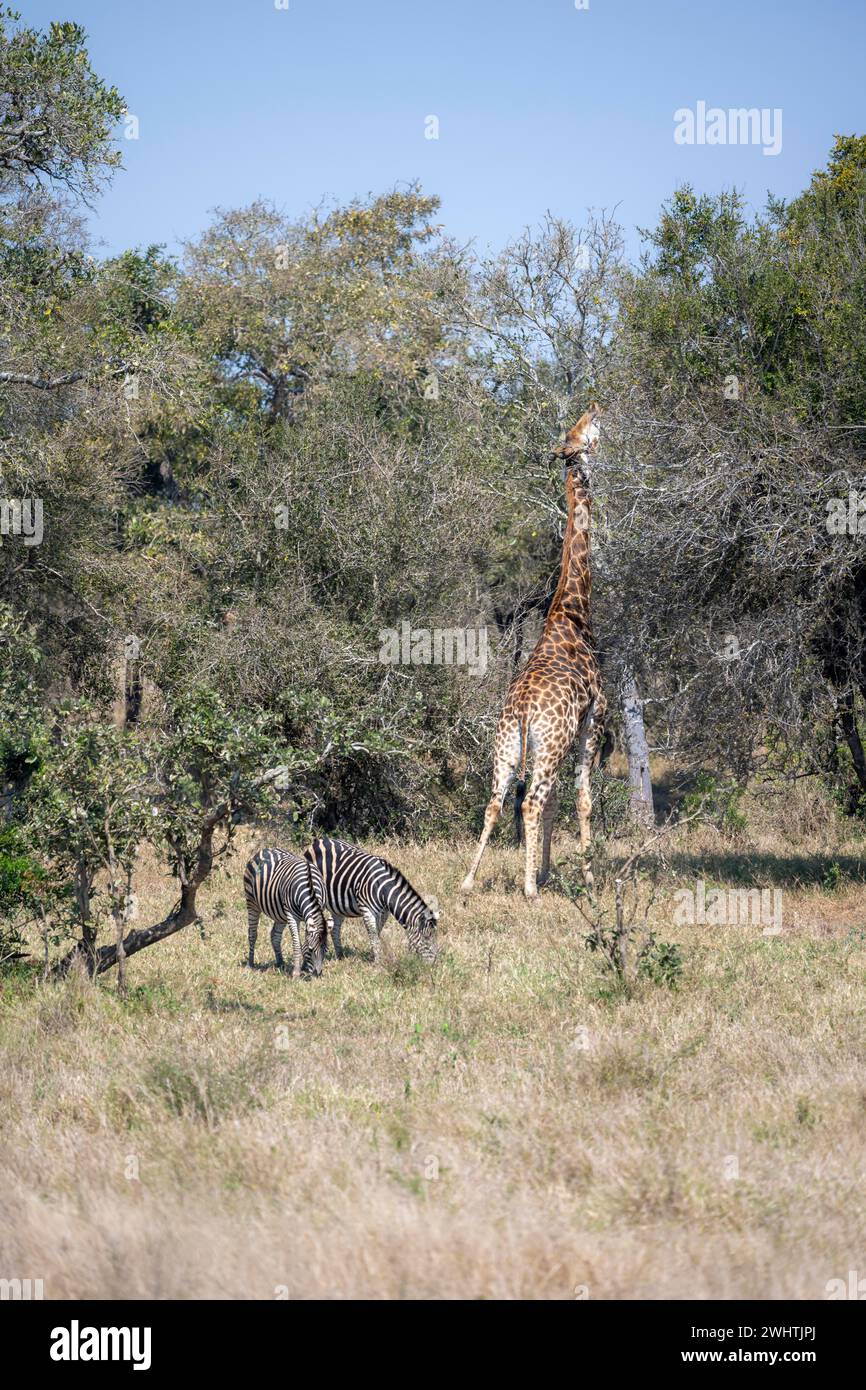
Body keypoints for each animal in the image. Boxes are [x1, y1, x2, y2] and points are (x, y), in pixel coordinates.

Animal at [461, 404, 606, 900]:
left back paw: (468, 880)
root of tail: (524, 712)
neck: (573, 611)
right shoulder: (594, 720)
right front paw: (585, 877)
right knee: (530, 803)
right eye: (586, 431)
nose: (597, 406)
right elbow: (582, 799)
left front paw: (545, 870)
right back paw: (527, 890)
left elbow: (559, 802)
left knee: (495, 802)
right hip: (547, 747)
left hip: (506, 749)